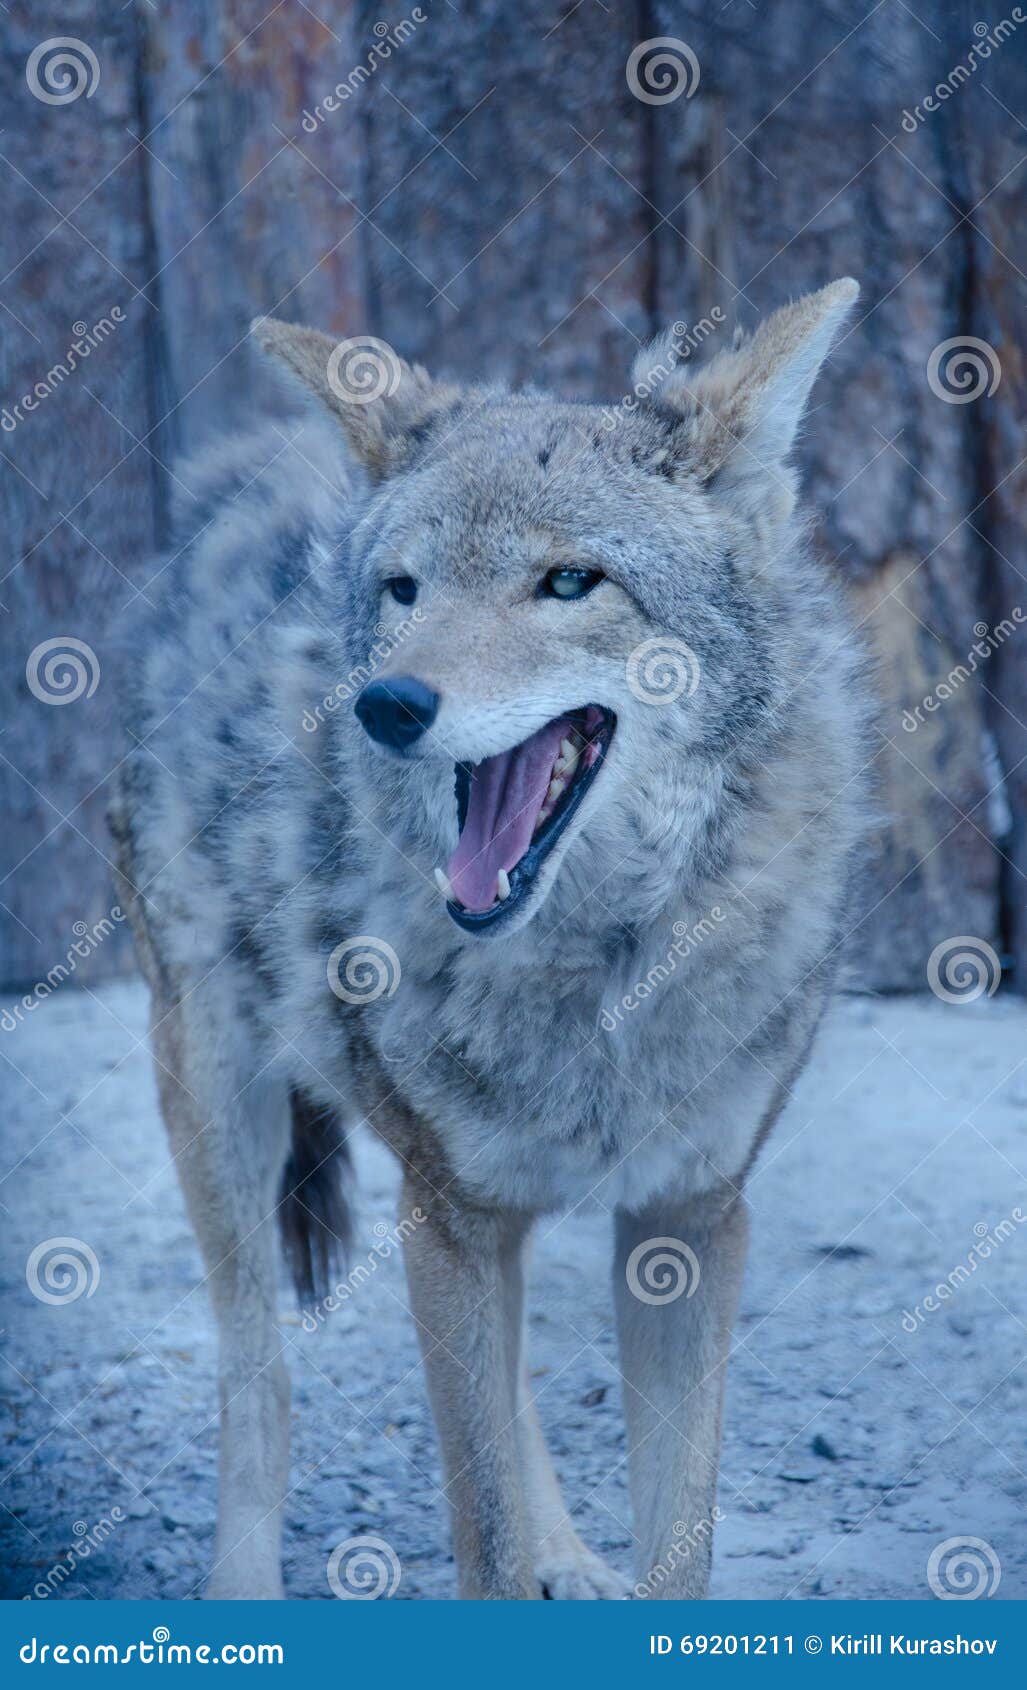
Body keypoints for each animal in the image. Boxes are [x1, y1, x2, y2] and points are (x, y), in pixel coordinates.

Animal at [111, 277, 867, 1600]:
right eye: (405, 590)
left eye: (569, 583)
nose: (387, 704)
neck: (604, 973)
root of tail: (236, 474)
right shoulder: (448, 1215)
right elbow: (482, 1535)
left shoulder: (687, 1217)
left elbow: (674, 1543)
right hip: (221, 1102)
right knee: (258, 1378)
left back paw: (569, 1549)